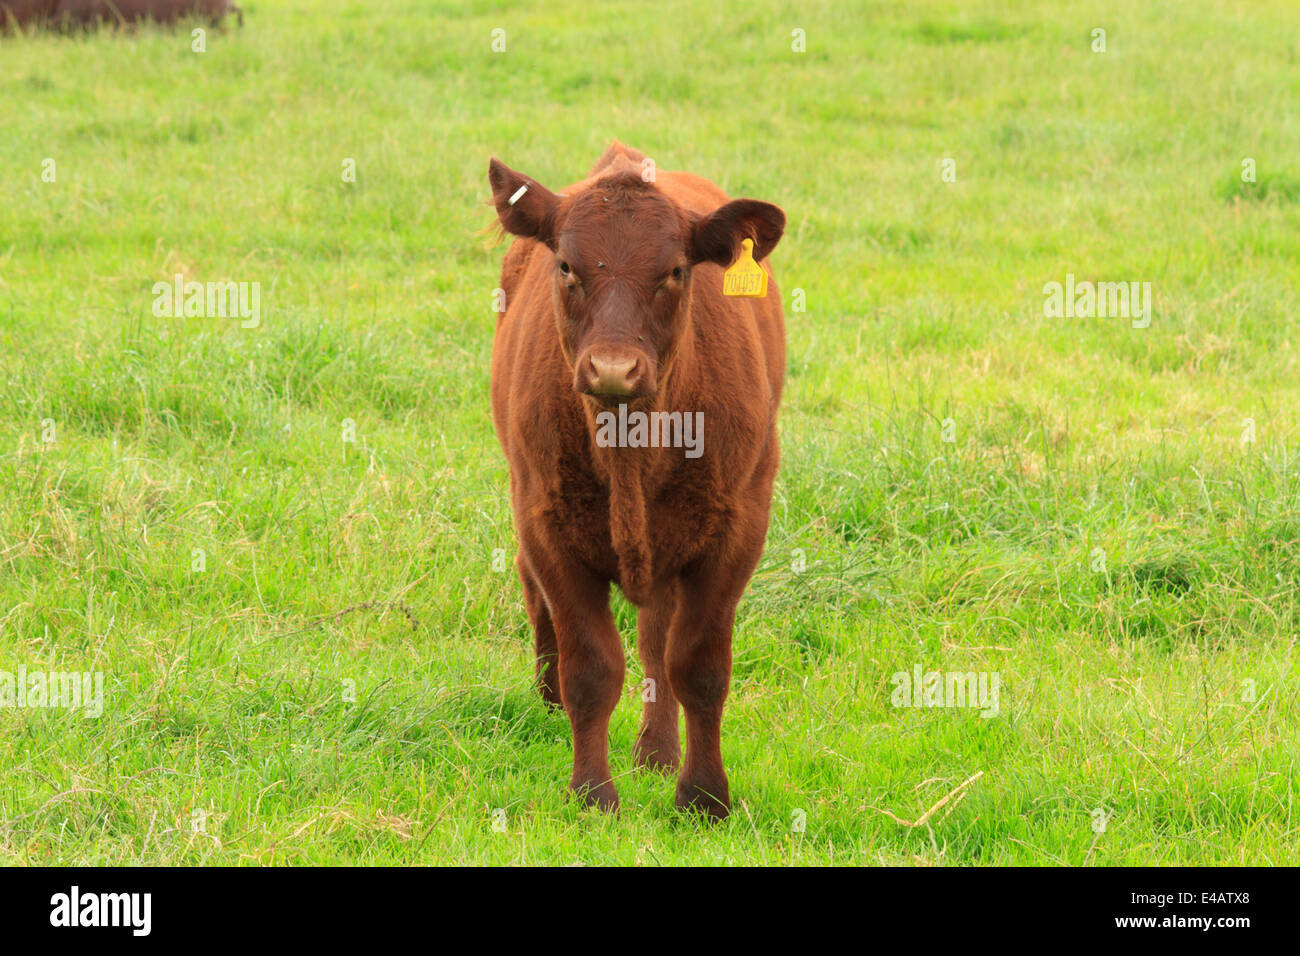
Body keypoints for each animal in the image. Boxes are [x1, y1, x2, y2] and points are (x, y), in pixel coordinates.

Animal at [487, 142, 786, 819]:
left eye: (676, 270)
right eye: (566, 265)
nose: (613, 369)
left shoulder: (738, 527)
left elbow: (697, 667)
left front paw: (703, 796)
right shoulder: (545, 522)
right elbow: (591, 670)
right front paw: (591, 794)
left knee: (656, 638)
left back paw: (656, 751)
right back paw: (548, 705)